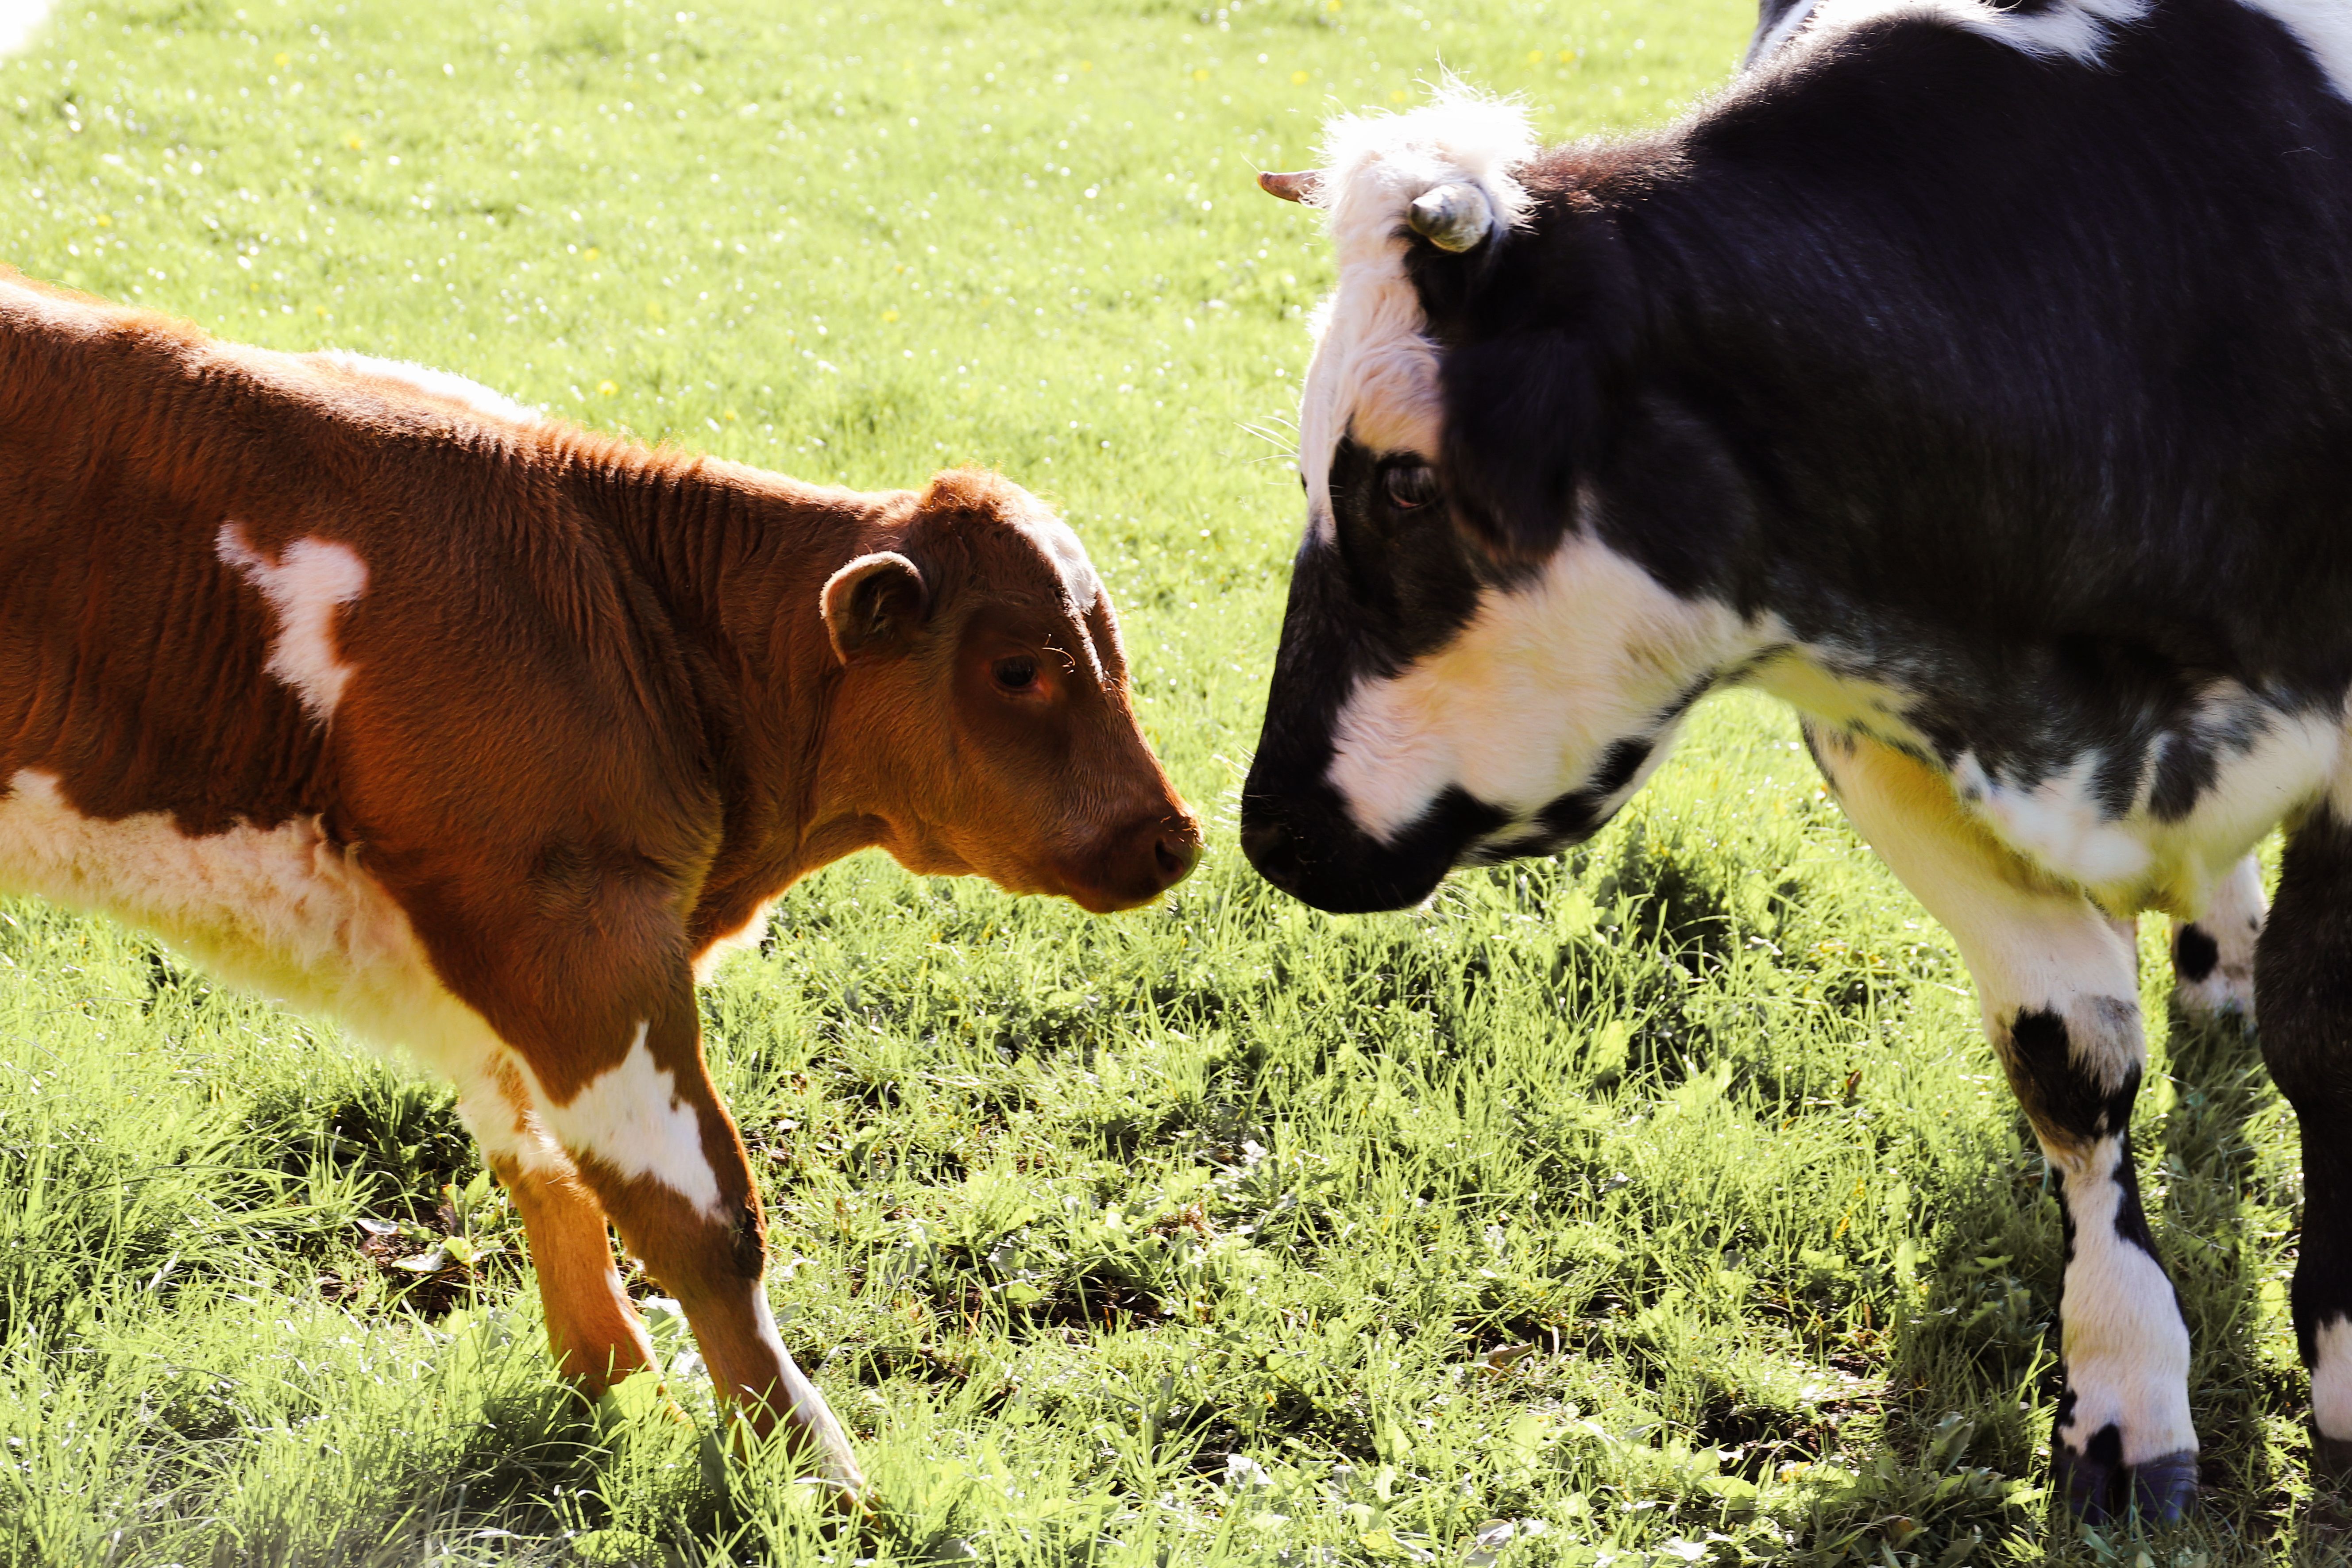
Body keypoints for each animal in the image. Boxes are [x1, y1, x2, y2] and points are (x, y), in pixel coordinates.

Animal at [0, 267, 1203, 1497]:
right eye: (1017, 671)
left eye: (1111, 652)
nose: (1172, 837)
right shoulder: (575, 926)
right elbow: (700, 1215)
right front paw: (815, 1472)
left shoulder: (503, 951)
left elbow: (547, 1163)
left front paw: (613, 1386)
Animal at [1239, 0, 2352, 1525]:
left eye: (1405, 480)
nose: (1269, 825)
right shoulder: (1882, 745)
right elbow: (2068, 1054)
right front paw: (2125, 1380)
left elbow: (2329, 1024)